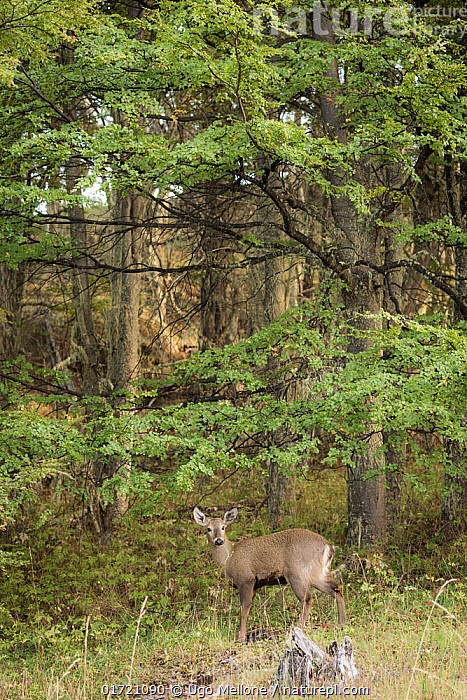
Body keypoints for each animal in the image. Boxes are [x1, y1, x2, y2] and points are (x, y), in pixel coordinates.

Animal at [193, 507, 346, 642]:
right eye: (208, 529)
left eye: (223, 527)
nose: (219, 540)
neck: (229, 559)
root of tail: (328, 546)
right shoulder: (254, 586)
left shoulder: (246, 580)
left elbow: (244, 610)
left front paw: (240, 638)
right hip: (318, 573)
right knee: (337, 588)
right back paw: (342, 624)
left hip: (297, 572)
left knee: (307, 599)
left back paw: (296, 630)